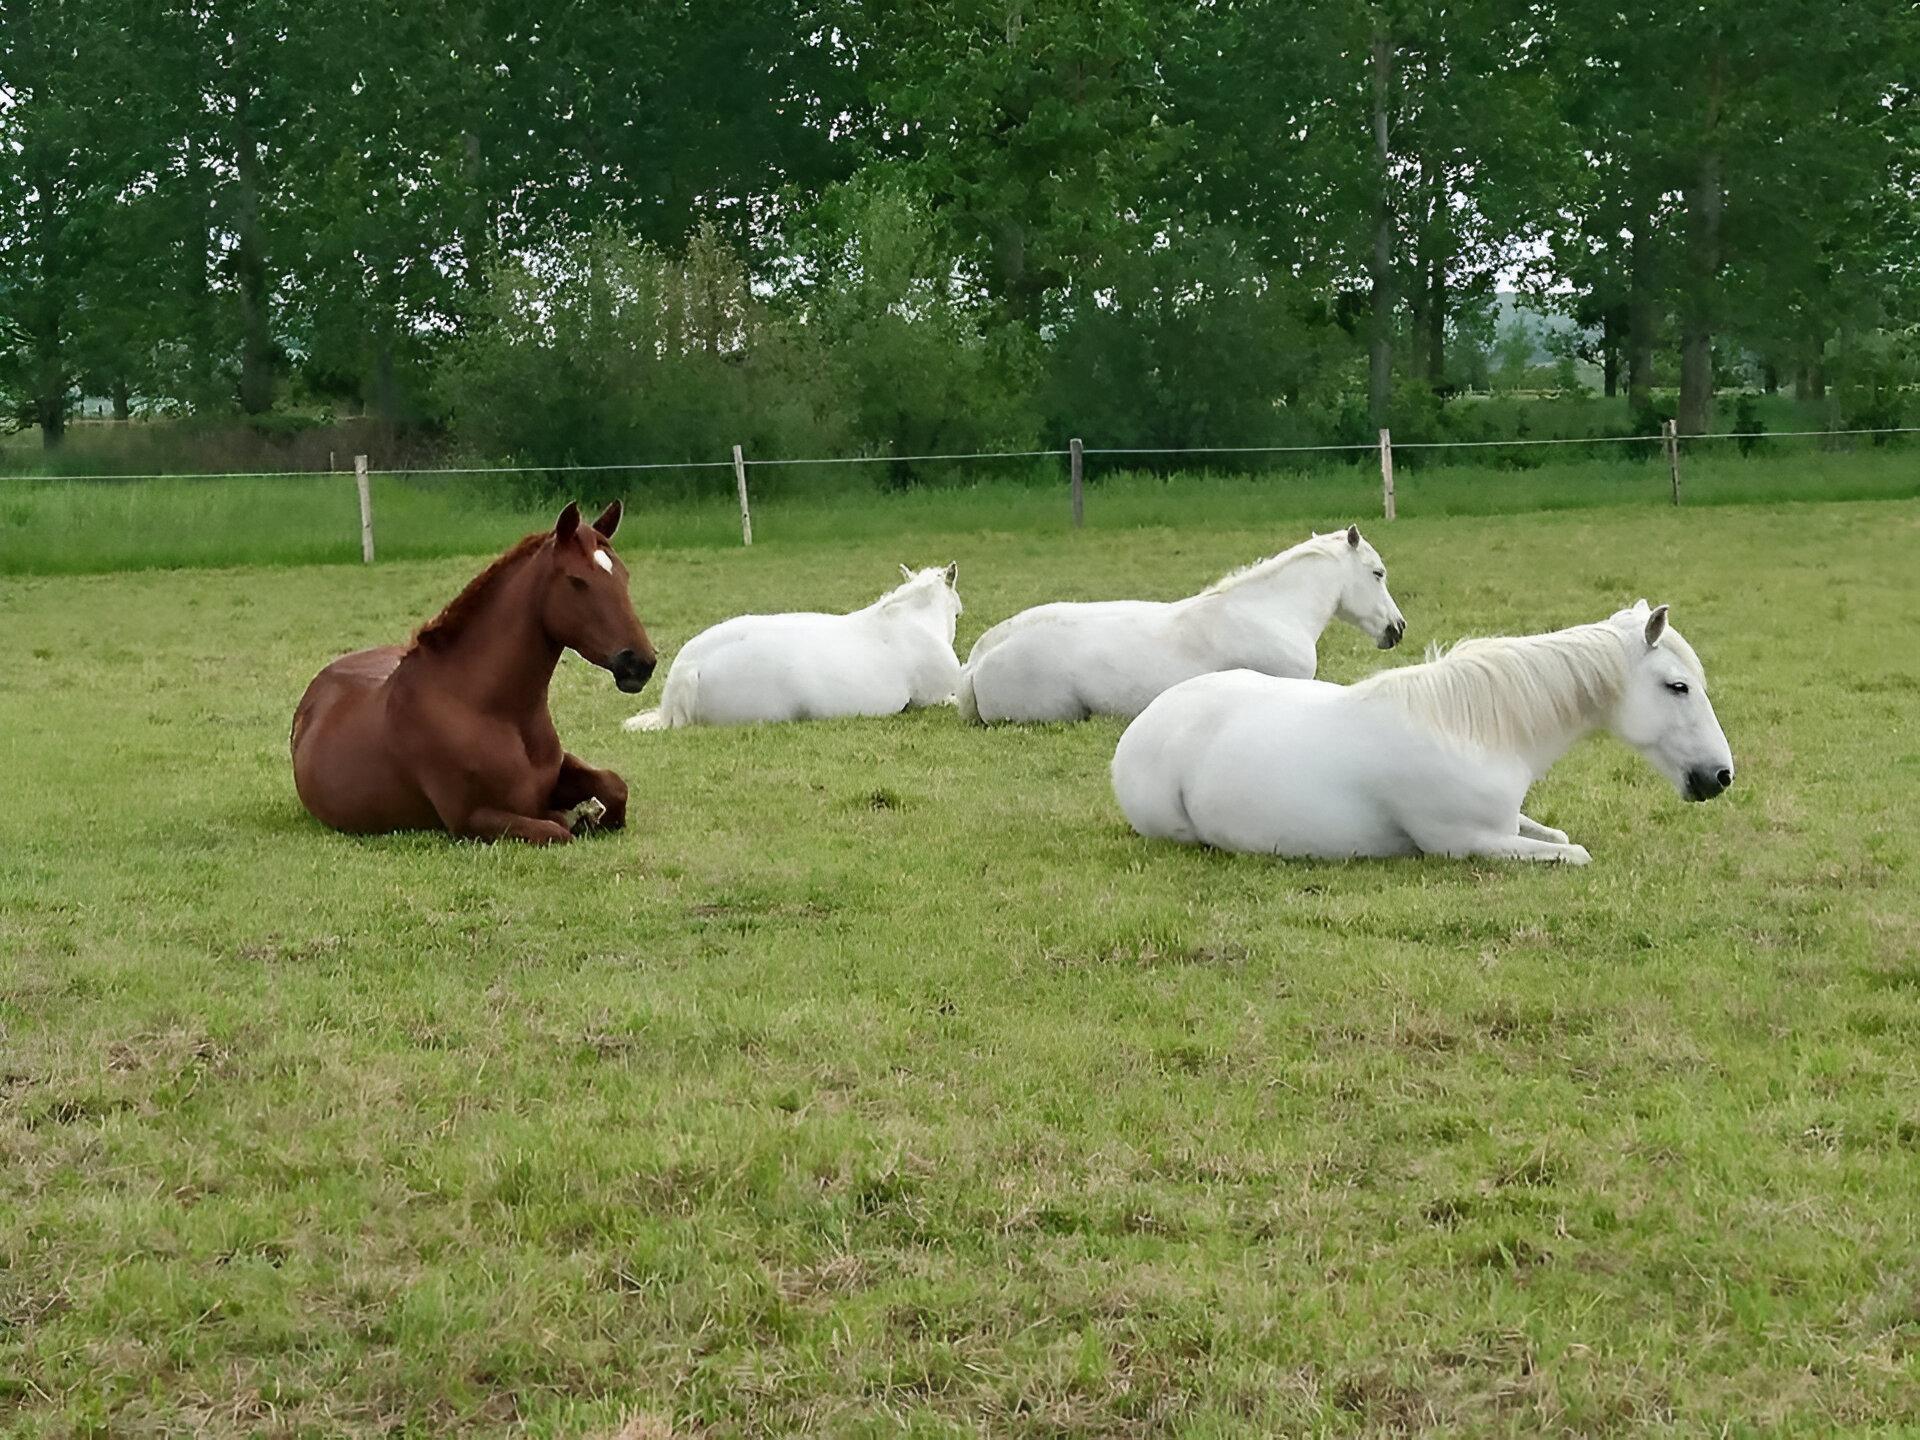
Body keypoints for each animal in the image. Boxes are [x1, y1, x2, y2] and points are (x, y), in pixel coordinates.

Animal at [292, 501, 655, 844]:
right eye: (577, 580)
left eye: (624, 576)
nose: (641, 662)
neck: (483, 707)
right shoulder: (472, 819)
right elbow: (557, 828)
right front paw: (577, 818)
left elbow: (614, 786)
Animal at [1111, 600, 1733, 863]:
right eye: (1678, 686)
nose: (1721, 776)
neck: (1473, 731)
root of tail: (1145, 722)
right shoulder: (1466, 842)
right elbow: (1575, 853)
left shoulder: (1508, 822)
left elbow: (1556, 835)